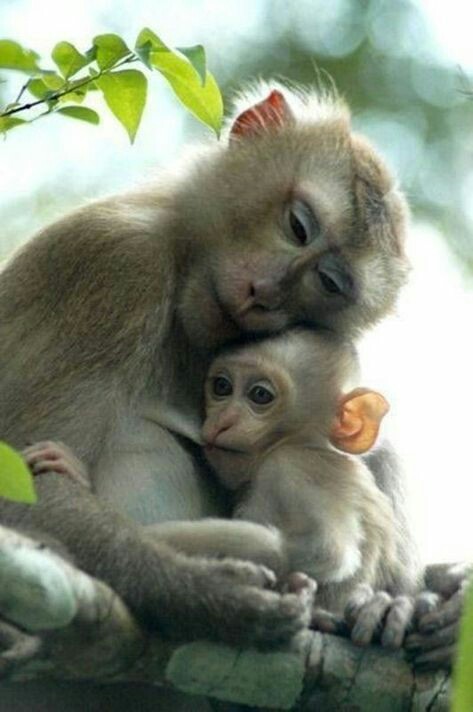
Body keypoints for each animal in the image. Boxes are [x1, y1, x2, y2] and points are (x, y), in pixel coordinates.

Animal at [0, 81, 414, 660]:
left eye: (329, 283)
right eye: (298, 226)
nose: (264, 294)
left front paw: (397, 604)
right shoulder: (116, 263)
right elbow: (19, 484)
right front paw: (205, 593)